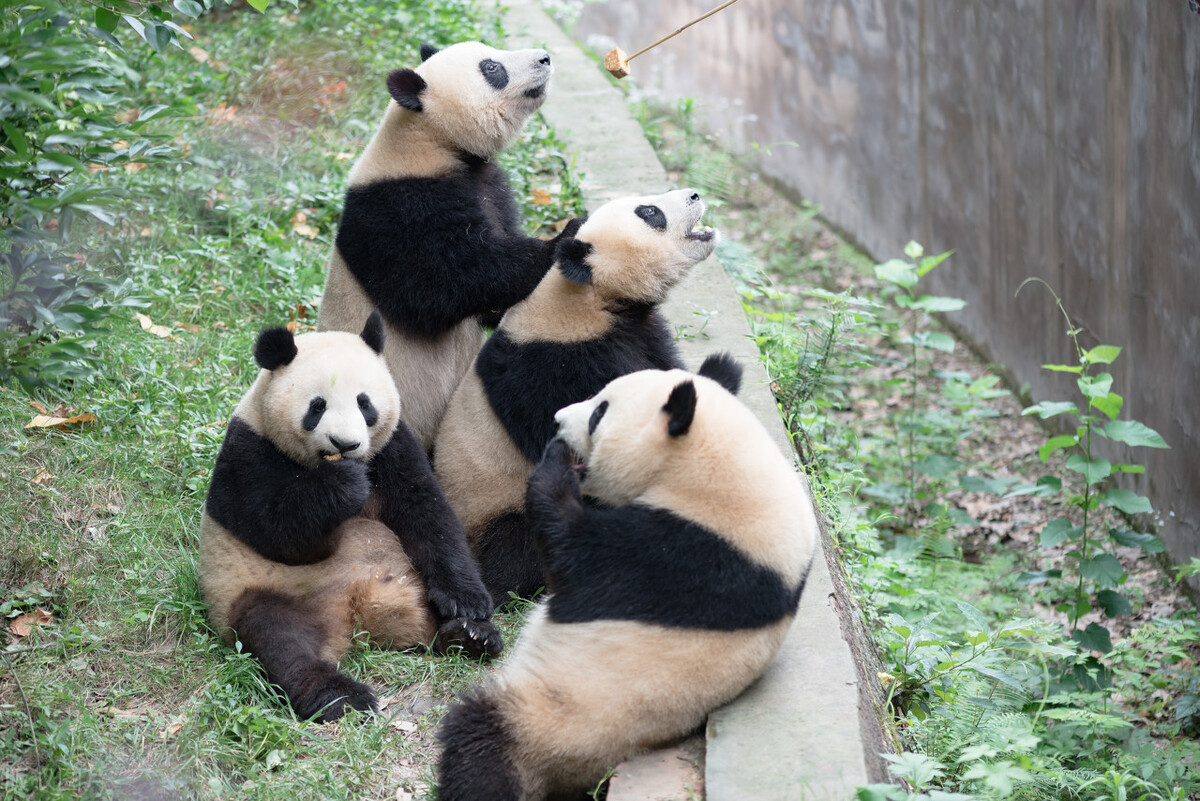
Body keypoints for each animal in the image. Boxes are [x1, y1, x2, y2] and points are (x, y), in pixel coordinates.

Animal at [199, 312, 502, 723]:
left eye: (365, 404)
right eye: (317, 406)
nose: (345, 444)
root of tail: (355, 620)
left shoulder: (392, 446)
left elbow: (429, 516)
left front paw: (469, 604)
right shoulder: (248, 451)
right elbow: (275, 530)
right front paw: (343, 485)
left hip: (412, 582)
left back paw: (468, 636)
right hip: (261, 592)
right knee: (279, 639)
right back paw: (340, 696)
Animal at [318, 40, 581, 452]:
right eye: (492, 68)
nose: (545, 57)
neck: (431, 140)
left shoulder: (489, 186)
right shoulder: (398, 208)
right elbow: (444, 286)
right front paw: (567, 235)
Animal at [432, 188, 718, 603]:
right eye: (650, 212)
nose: (694, 193)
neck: (590, 301)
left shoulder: (643, 334)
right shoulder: (555, 367)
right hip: (492, 503)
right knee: (518, 542)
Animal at [436, 353, 818, 801]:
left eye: (599, 411)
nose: (558, 420)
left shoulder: (685, 555)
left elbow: (567, 553)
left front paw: (555, 463)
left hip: (563, 718)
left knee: (482, 742)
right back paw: (466, 634)